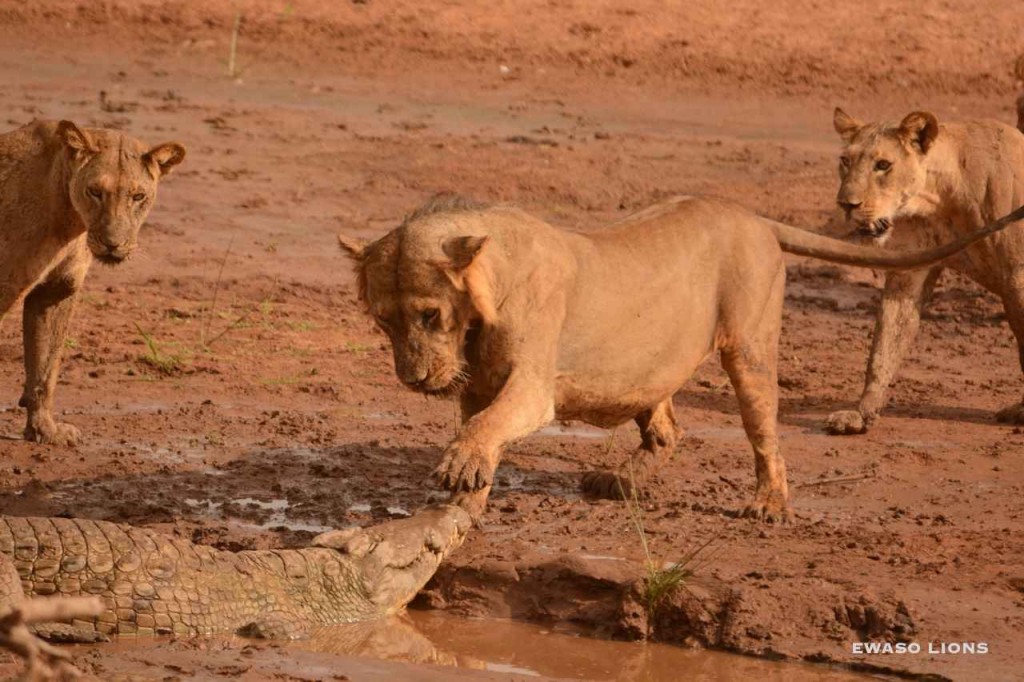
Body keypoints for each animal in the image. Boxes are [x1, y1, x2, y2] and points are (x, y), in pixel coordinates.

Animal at [1, 120, 185, 445]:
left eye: (138, 196)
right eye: (95, 191)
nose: (114, 244)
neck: (66, 224)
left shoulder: (55, 292)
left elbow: (45, 368)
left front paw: (46, 430)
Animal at [339, 194, 1024, 522]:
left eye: (430, 315)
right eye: (384, 321)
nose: (413, 378)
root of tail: (753, 216)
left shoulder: (532, 388)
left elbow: (489, 427)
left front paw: (460, 476)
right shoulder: (478, 387)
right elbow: (480, 430)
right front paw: (462, 502)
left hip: (749, 346)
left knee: (764, 435)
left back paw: (767, 506)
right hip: (653, 368)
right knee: (668, 430)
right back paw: (617, 481)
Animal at [823, 108, 1024, 435]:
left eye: (883, 165)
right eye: (845, 161)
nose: (846, 205)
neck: (941, 200)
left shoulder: (1017, 278)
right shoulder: (909, 272)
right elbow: (884, 346)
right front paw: (861, 414)